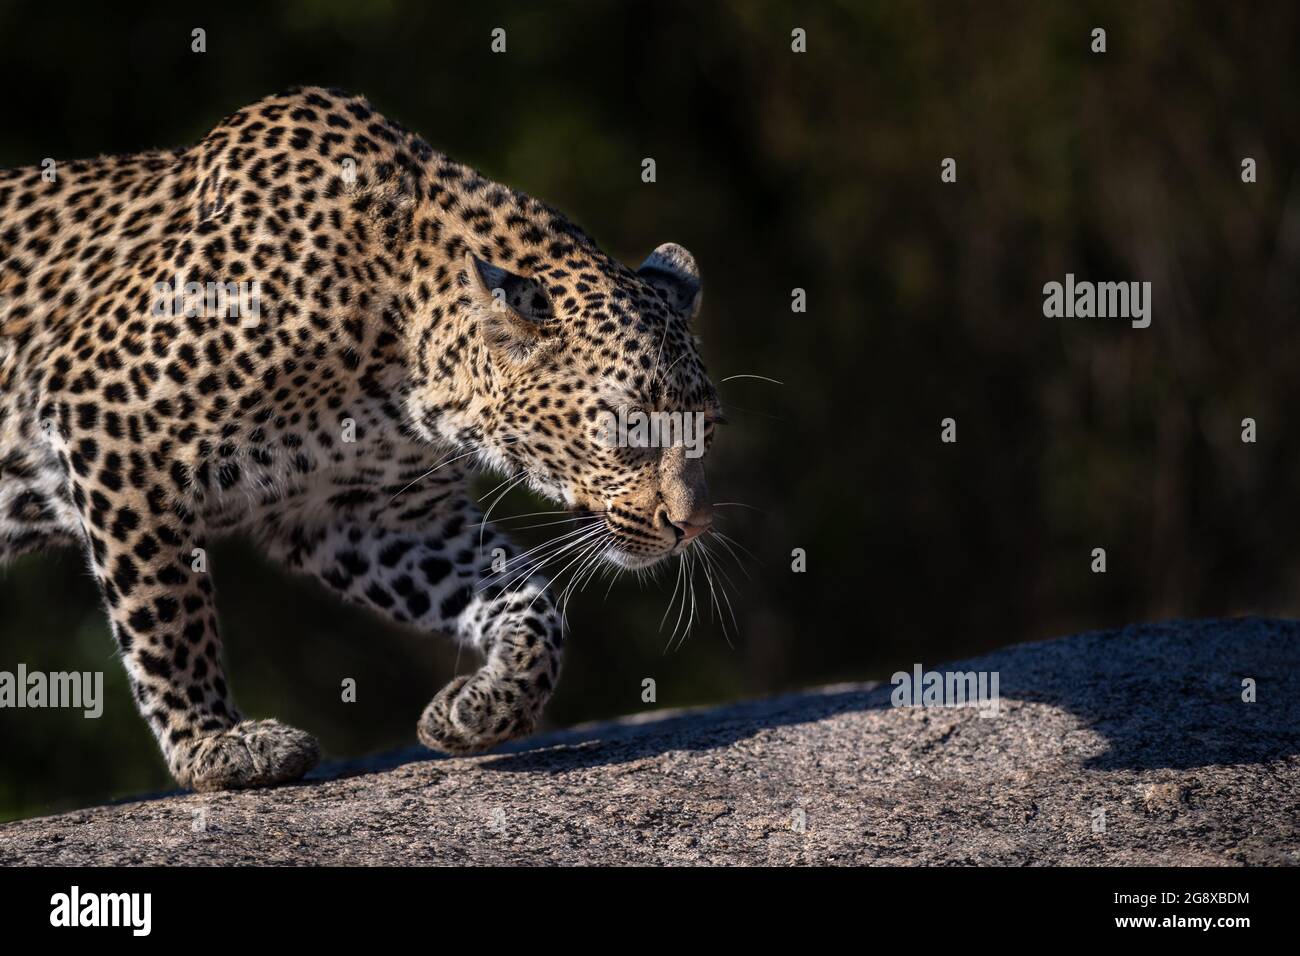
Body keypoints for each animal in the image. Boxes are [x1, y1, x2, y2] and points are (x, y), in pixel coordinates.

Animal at [0, 87, 720, 793]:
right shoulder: (109, 414)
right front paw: (212, 744)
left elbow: (529, 599)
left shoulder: (373, 512)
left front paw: (485, 708)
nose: (691, 527)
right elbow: (166, 610)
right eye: (628, 425)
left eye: (707, 429)